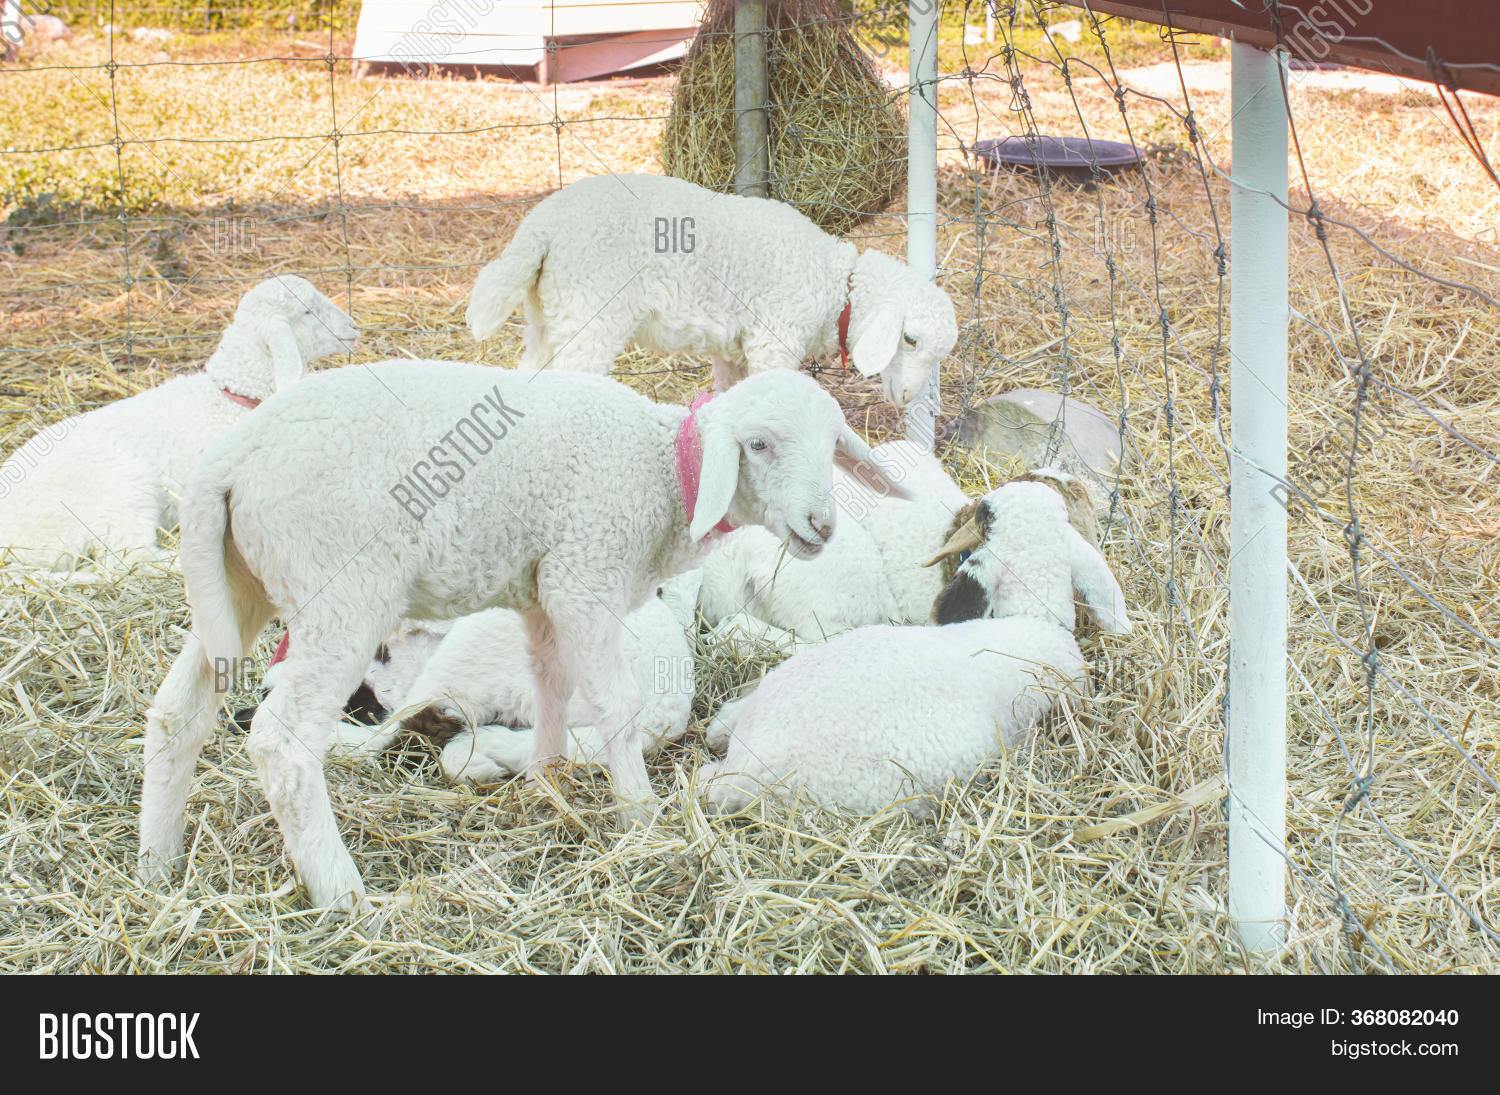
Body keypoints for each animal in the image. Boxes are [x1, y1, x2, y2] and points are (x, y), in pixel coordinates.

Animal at [0, 275, 357, 570]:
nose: (353, 327)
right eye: (308, 311)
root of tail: (13, 542)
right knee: (130, 558)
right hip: (125, 488)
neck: (234, 397)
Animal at [137, 362, 911, 912]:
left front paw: (547, 777)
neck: (663, 472)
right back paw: (344, 894)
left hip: (239, 584)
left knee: (177, 712)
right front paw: (641, 821)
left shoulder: (544, 591)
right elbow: (616, 706)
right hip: (342, 592)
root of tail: (228, 460)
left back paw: (158, 861)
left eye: (834, 445)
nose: (821, 526)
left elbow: (550, 684)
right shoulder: (585, 575)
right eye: (759, 444)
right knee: (283, 740)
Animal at [465, 173, 958, 409]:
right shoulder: (773, 339)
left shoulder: (732, 351)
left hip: (547, 315)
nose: (909, 398)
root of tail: (541, 228)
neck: (835, 285)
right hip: (590, 312)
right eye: (910, 339)